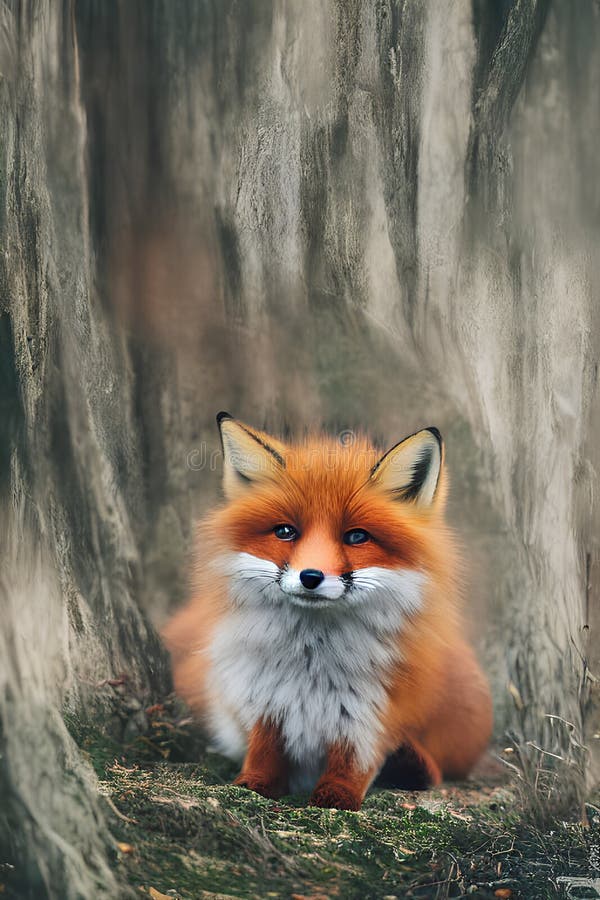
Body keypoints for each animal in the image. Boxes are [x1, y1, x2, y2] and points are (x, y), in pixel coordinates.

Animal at [163, 413, 493, 811]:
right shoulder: (265, 697)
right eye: (285, 531)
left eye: (356, 537)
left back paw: (412, 766)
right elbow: (263, 749)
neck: (312, 666)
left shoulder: (371, 713)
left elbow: (353, 763)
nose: (310, 577)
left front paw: (337, 796)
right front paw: (253, 783)